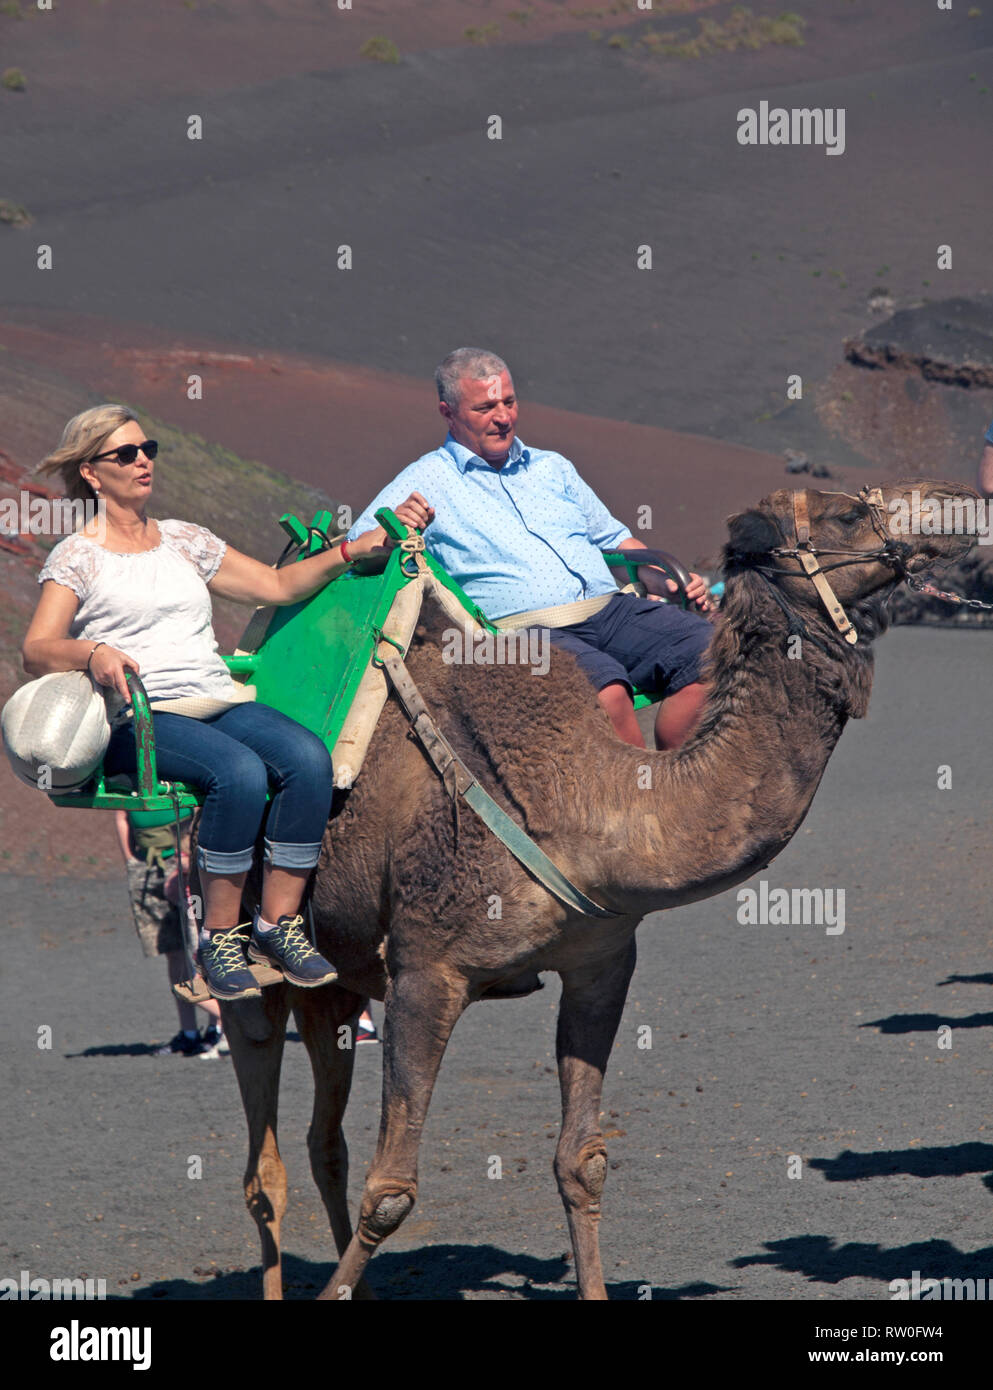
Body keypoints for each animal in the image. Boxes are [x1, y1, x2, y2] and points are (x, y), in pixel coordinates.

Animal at [208, 480, 976, 1301]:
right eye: (847, 512)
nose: (961, 504)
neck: (587, 803)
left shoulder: (599, 962)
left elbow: (581, 1162)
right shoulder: (426, 972)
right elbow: (392, 1189)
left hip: (337, 979)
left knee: (324, 1136)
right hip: (244, 963)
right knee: (264, 1165)